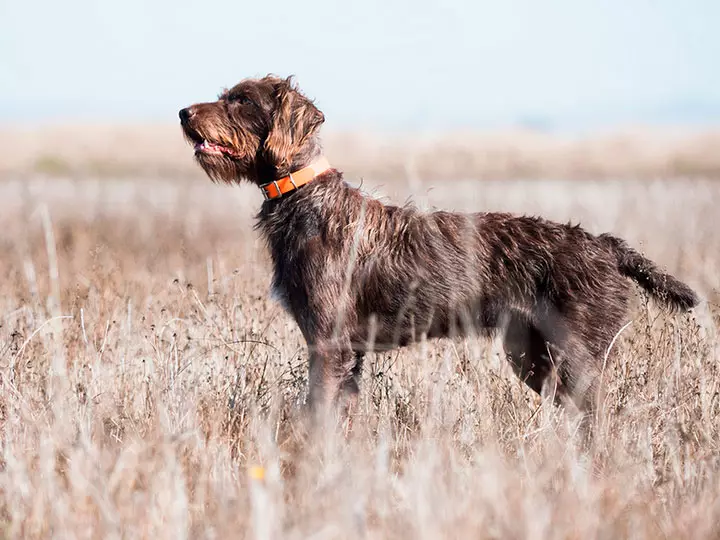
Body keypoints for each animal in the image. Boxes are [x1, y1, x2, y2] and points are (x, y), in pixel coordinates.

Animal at [177, 74, 700, 418]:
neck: (302, 195)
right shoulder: (348, 355)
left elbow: (317, 417)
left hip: (574, 357)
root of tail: (604, 246)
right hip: (532, 357)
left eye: (242, 100)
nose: (183, 112)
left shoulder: (328, 345)